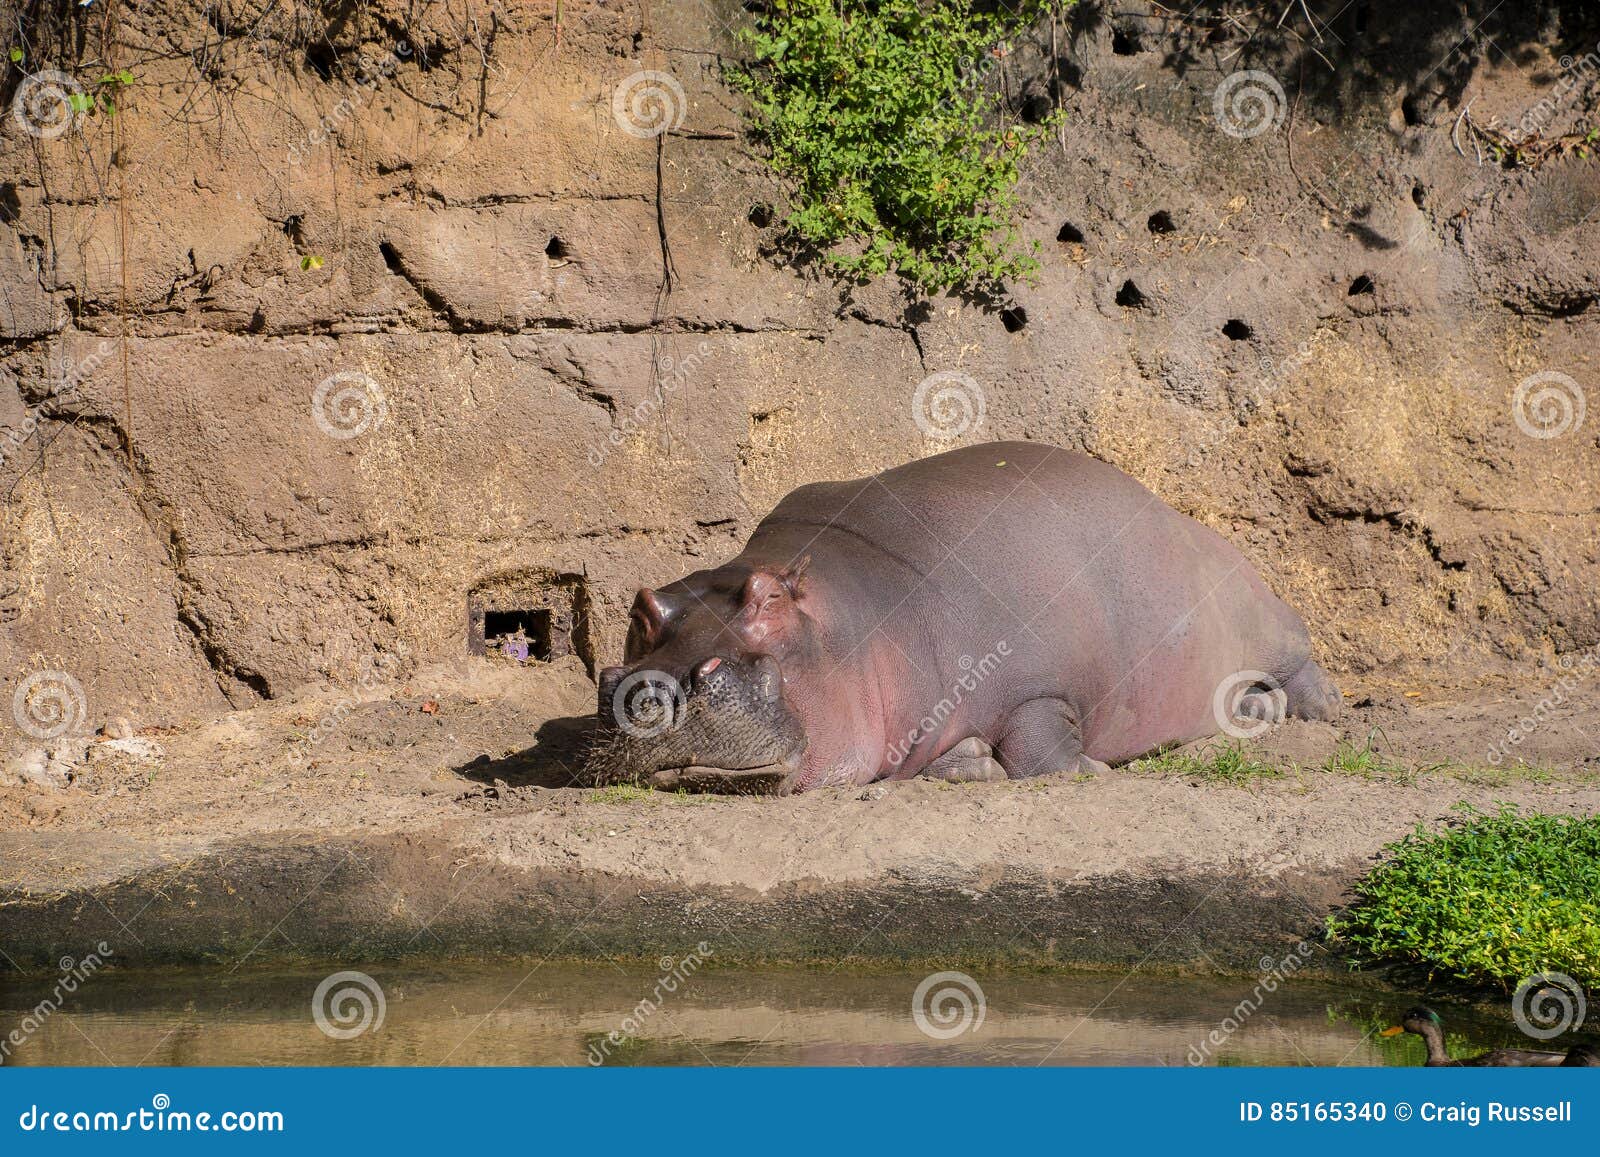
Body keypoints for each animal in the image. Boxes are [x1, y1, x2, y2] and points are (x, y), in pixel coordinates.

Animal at [589, 441, 1340, 794]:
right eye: (644, 607)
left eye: (770, 599)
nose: (651, 689)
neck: (858, 609)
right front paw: (973, 762)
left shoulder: (1036, 682)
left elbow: (1040, 743)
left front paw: (1087, 769)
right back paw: (1258, 713)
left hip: (1261, 614)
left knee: (1296, 657)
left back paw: (1319, 709)